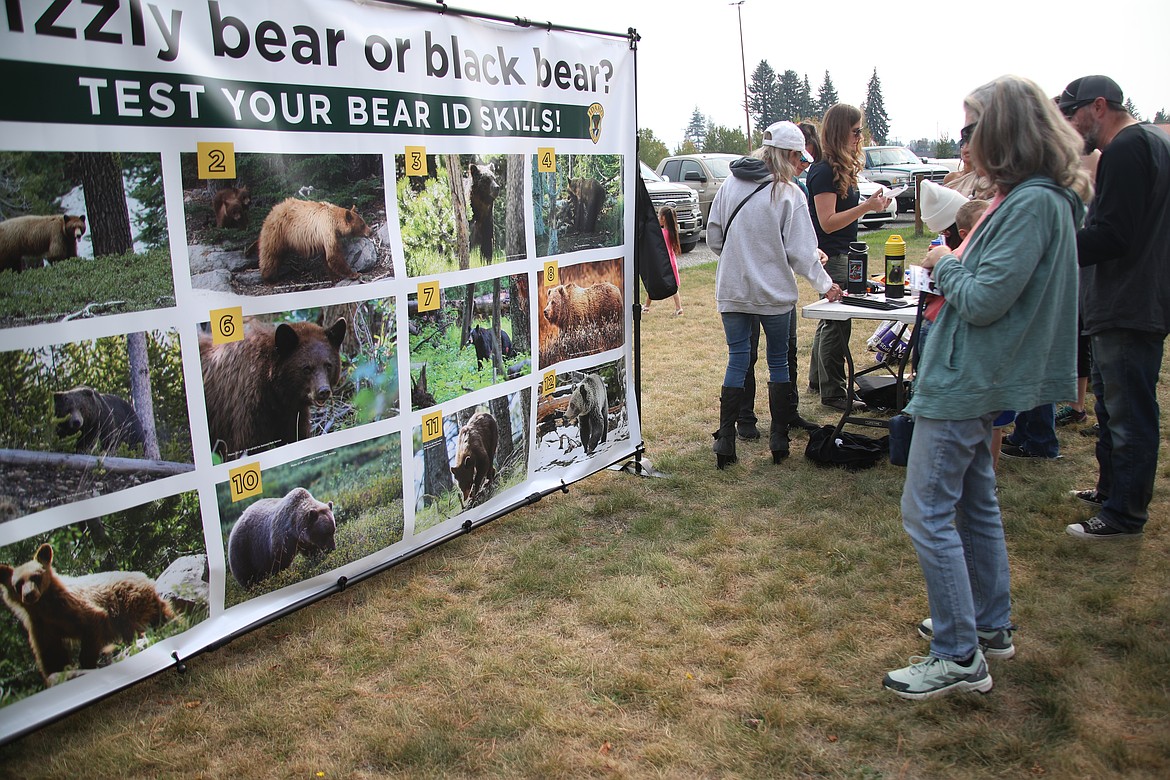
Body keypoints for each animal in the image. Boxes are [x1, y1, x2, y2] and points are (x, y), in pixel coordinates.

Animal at [0, 543, 173, 683]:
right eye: (18, 584)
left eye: (36, 577)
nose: (29, 595)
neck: (46, 608)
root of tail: (147, 578)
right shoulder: (41, 626)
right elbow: (51, 655)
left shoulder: (72, 606)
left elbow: (92, 620)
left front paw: (87, 664)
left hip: (128, 602)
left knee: (138, 623)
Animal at [199, 317, 347, 460]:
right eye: (307, 368)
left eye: (328, 365)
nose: (323, 391)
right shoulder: (245, 412)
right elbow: (246, 446)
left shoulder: (293, 413)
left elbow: (296, 435)